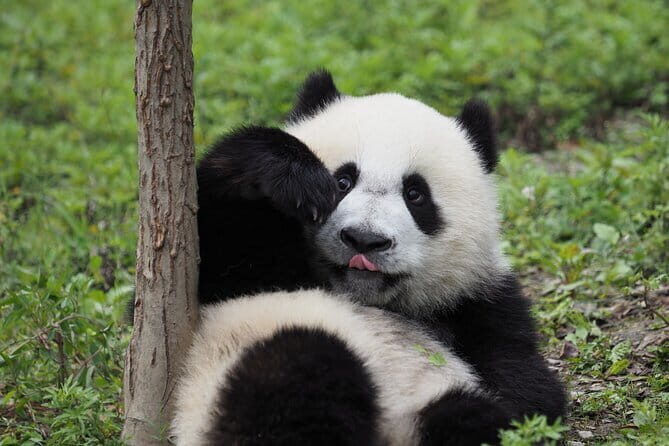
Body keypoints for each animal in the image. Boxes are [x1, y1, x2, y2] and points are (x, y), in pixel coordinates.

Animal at [175, 70, 566, 445]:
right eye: (343, 181)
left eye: (415, 194)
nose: (364, 239)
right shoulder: (246, 274)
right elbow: (213, 241)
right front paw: (287, 171)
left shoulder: (477, 299)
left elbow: (530, 386)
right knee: (296, 369)